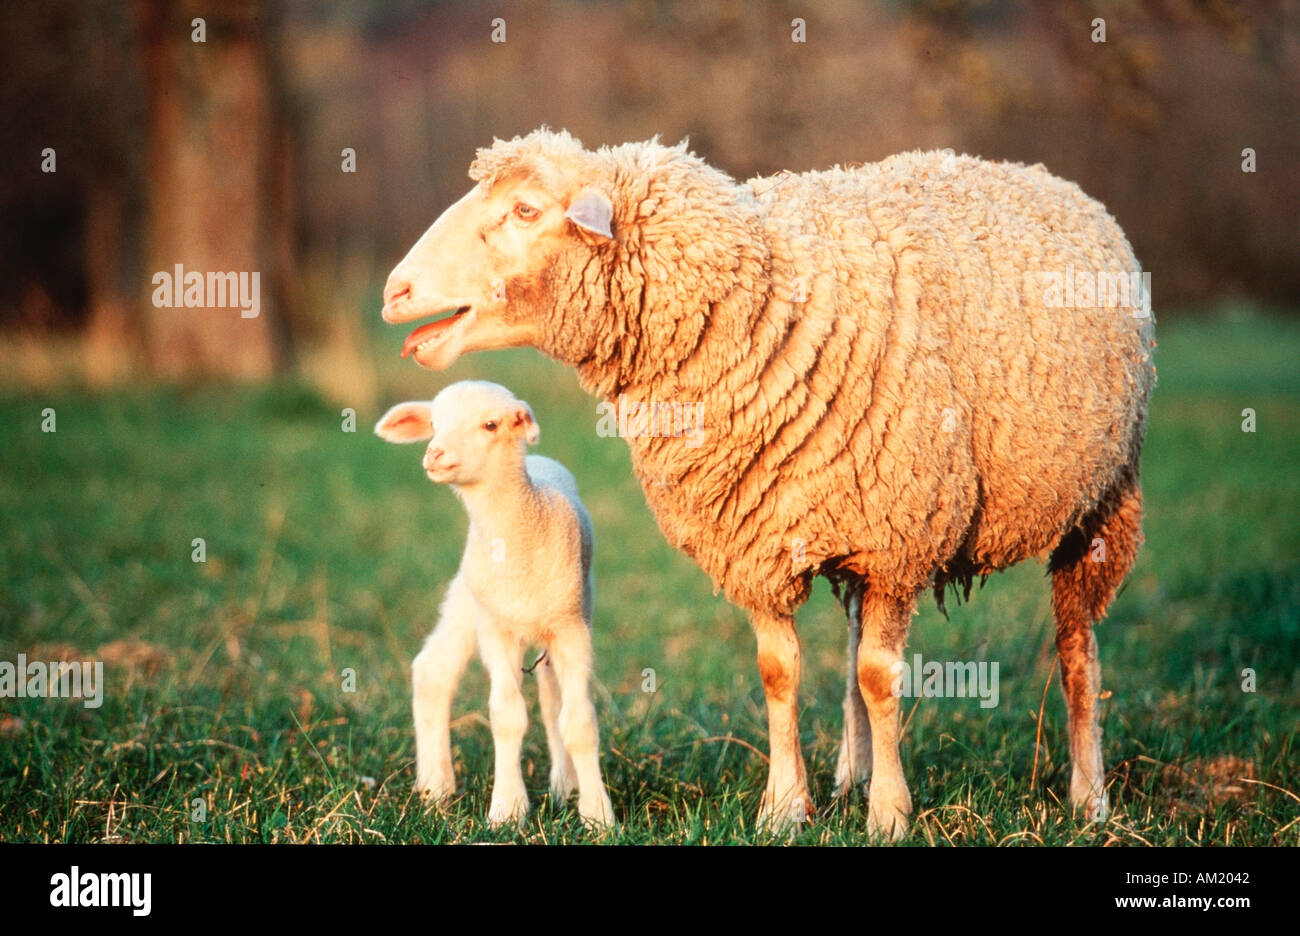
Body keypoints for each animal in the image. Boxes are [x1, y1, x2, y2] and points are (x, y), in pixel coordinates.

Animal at [374, 379, 615, 829]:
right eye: (434, 423)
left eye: (490, 424)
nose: (434, 454)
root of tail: (540, 460)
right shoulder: (496, 628)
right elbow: (507, 716)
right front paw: (507, 809)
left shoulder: (571, 628)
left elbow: (579, 722)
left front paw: (598, 815)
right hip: (468, 597)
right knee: (433, 670)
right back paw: (435, 787)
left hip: (570, 608)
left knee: (551, 697)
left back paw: (565, 786)